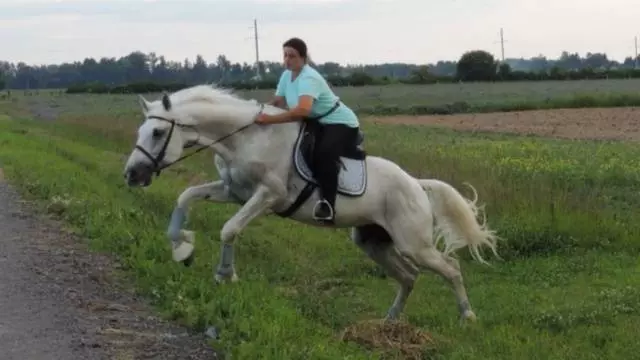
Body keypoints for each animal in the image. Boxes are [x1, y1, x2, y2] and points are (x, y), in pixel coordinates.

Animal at [121, 85, 500, 324]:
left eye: (157, 133)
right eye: (141, 131)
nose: (132, 174)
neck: (247, 138)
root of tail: (417, 184)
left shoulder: (267, 196)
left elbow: (229, 229)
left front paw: (225, 274)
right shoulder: (234, 191)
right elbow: (185, 197)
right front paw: (181, 248)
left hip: (413, 243)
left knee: (450, 268)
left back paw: (468, 316)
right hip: (372, 241)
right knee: (408, 276)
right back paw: (390, 322)